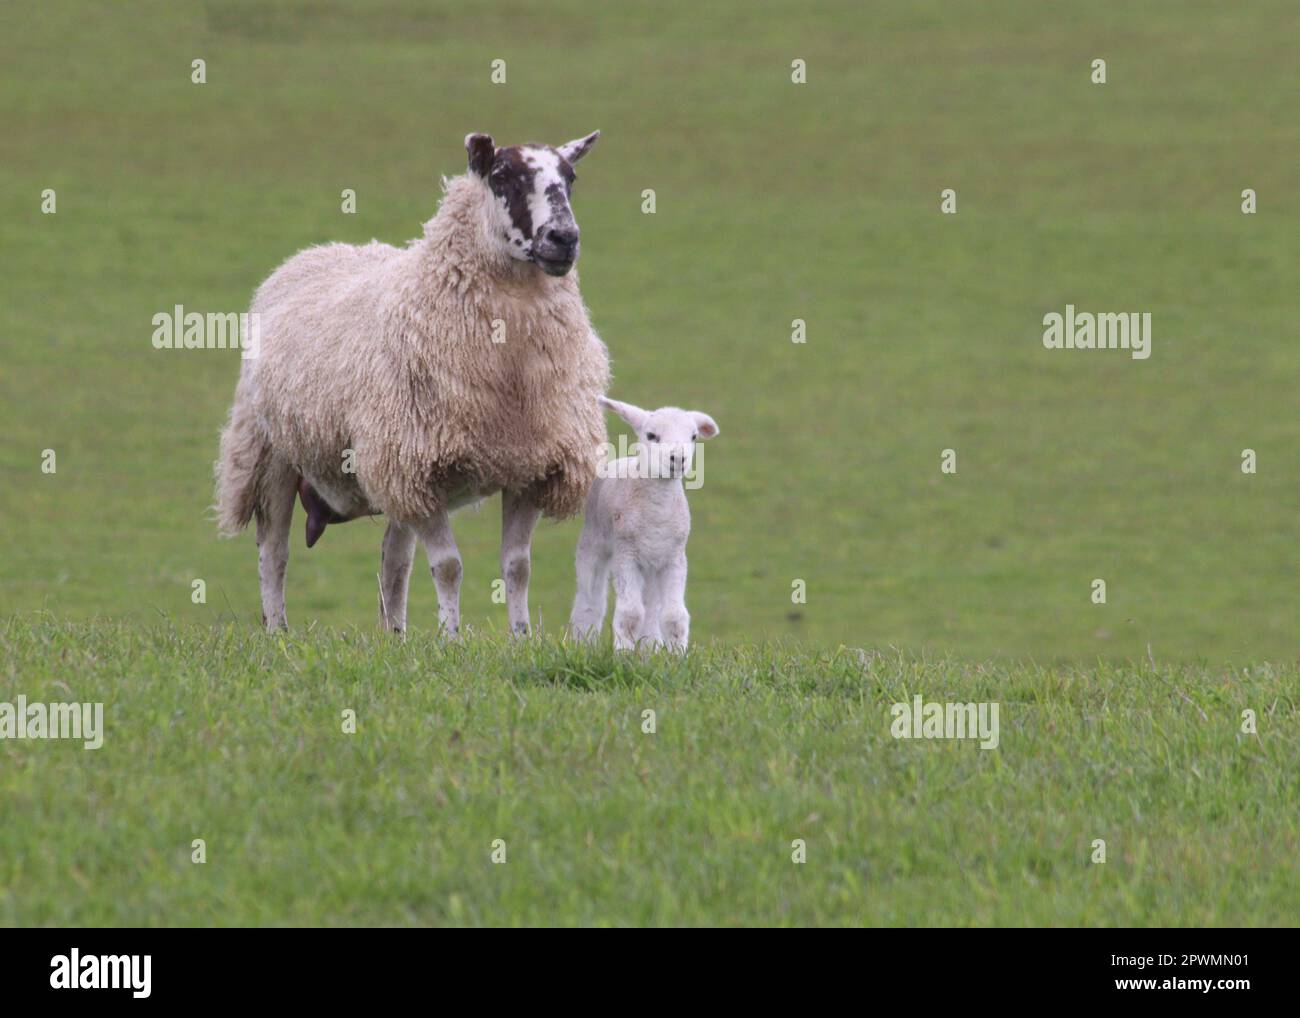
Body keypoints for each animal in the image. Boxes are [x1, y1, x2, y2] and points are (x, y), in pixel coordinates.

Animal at [215, 131, 610, 635]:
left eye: (571, 178)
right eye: (502, 177)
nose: (564, 238)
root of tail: (322, 251)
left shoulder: (530, 467)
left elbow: (517, 567)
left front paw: (522, 639)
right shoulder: (421, 469)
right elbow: (448, 567)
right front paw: (451, 639)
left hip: (391, 467)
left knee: (393, 561)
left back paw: (396, 639)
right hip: (275, 453)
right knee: (274, 553)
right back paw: (278, 631)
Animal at [568, 397, 720, 651]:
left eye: (693, 436)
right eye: (651, 435)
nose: (678, 458)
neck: (657, 514)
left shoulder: (674, 558)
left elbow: (674, 616)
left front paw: (677, 655)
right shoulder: (626, 554)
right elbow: (630, 613)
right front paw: (624, 653)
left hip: (651, 566)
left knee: (651, 606)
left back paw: (650, 647)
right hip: (593, 541)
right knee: (590, 599)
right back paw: (582, 643)